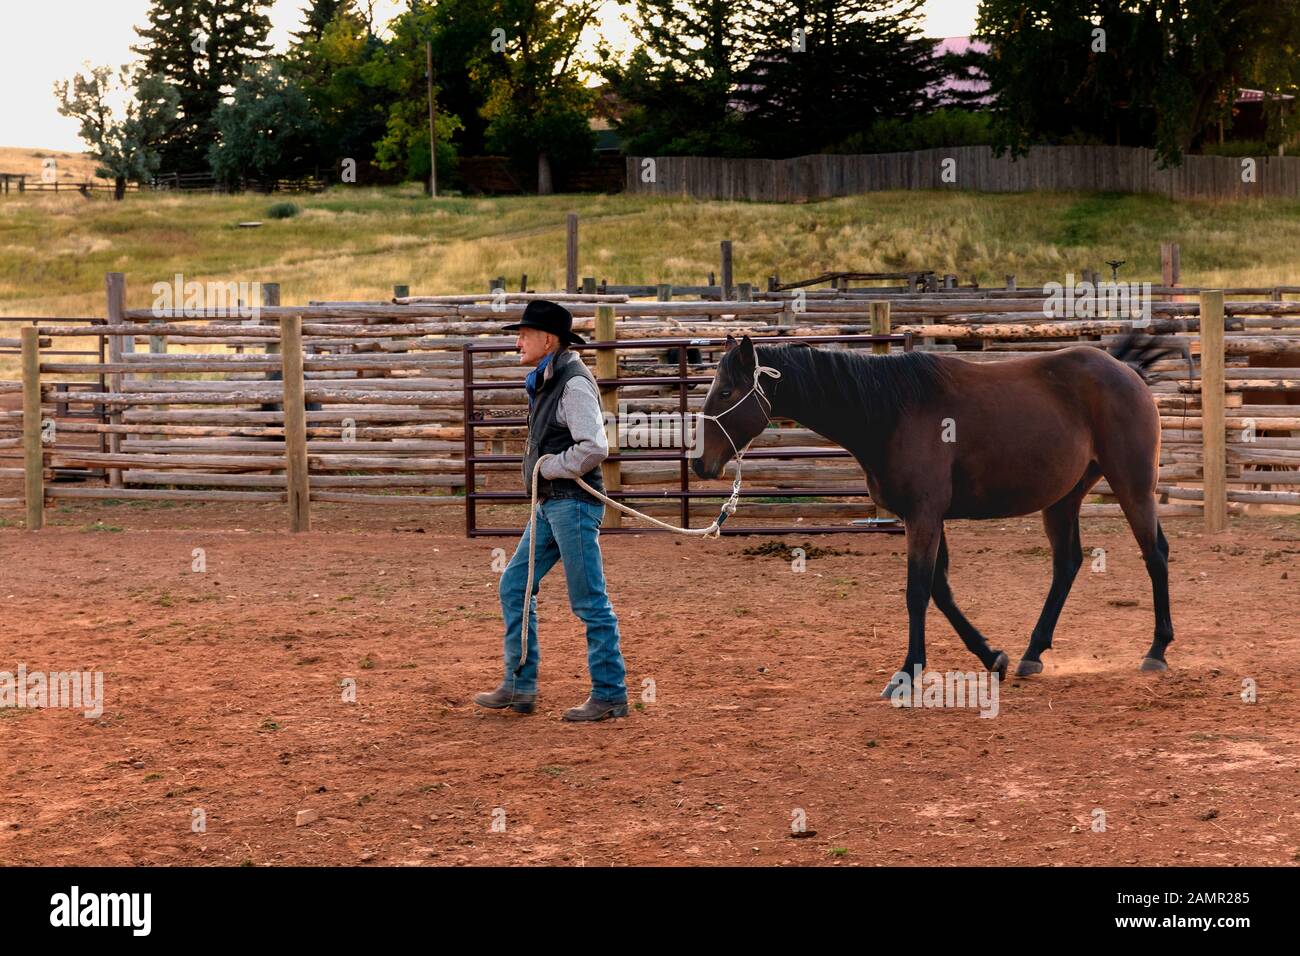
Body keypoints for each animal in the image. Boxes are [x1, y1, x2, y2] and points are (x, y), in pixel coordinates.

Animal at [694, 333, 1183, 698]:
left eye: (726, 390)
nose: (700, 463)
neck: (890, 413)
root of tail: (1125, 370)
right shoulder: (931, 518)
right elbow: (941, 592)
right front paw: (993, 656)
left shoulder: (923, 517)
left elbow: (917, 592)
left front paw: (907, 673)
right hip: (1063, 499)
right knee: (1068, 563)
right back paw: (1031, 653)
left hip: (1133, 486)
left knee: (1155, 555)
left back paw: (1156, 652)